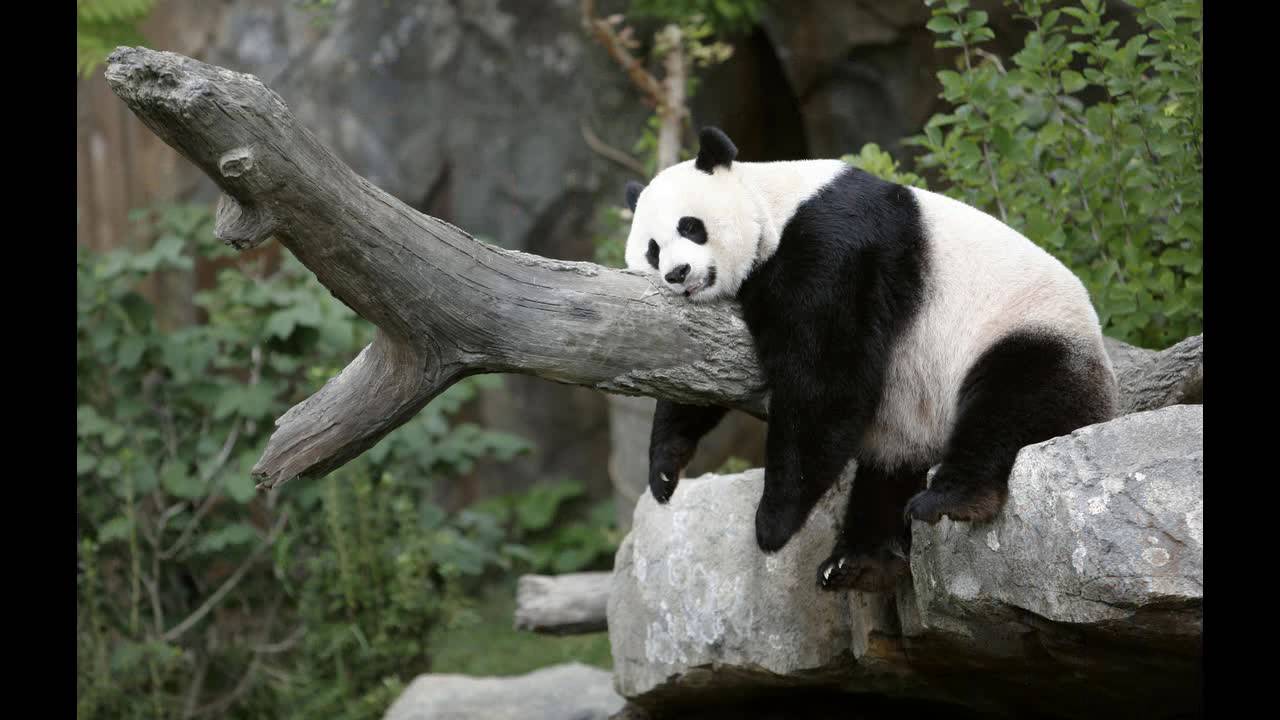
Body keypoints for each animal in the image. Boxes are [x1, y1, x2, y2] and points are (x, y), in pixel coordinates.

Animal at [623, 126, 1118, 593]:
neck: (774, 204)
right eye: (652, 249)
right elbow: (698, 370)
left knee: (1011, 403)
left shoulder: (834, 245)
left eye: (690, 226)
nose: (678, 274)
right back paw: (858, 561)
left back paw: (951, 499)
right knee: (888, 473)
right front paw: (664, 470)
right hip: (911, 420)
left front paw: (772, 523)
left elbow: (825, 380)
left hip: (1027, 331)